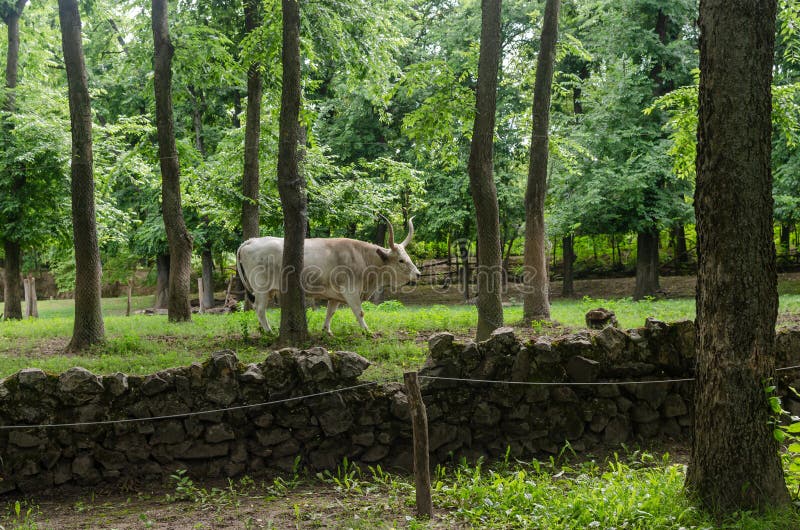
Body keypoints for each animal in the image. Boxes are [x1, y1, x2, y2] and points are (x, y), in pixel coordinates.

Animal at [236, 216, 421, 335]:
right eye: (401, 260)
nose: (418, 274)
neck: (363, 257)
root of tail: (250, 241)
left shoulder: (336, 295)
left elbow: (330, 312)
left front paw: (327, 330)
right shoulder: (351, 291)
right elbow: (359, 311)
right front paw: (367, 331)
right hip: (262, 289)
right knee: (259, 309)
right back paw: (269, 331)